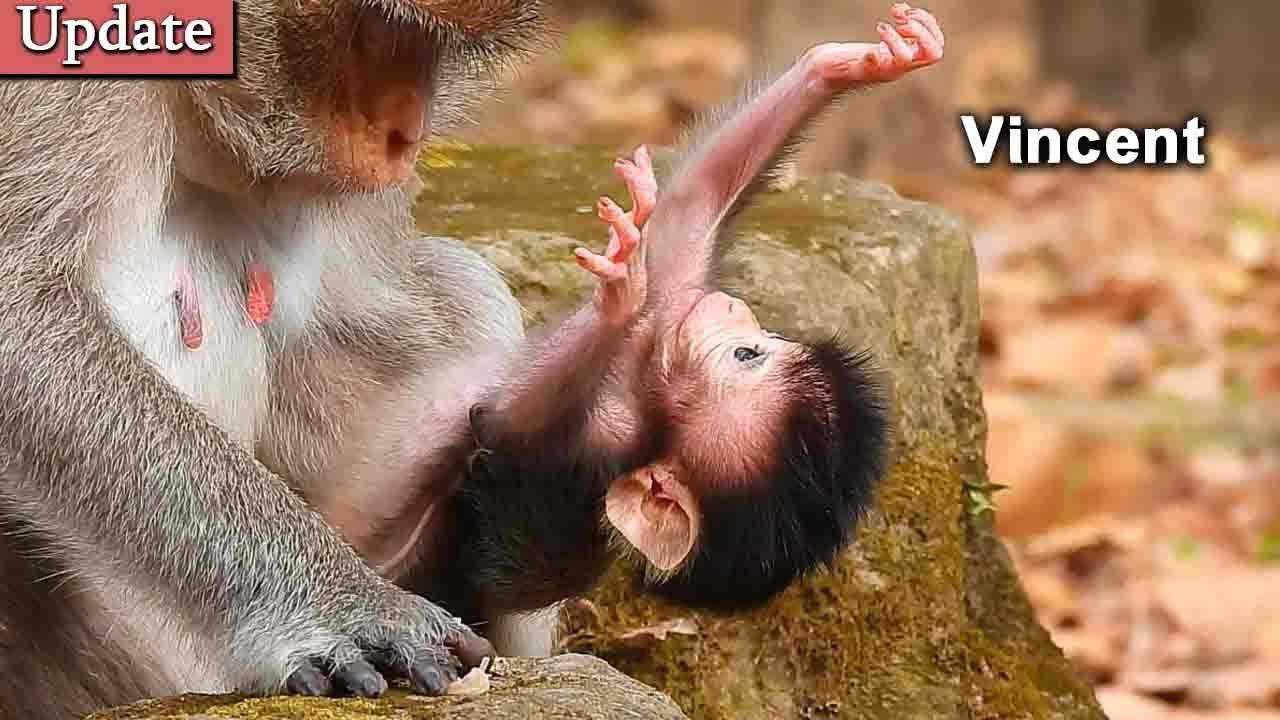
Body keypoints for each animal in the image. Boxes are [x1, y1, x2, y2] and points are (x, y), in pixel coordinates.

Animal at [0, 2, 547, 718]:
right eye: (375, 32)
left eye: (430, 50)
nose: (405, 135)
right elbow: (22, 315)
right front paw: (348, 606)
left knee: (464, 282)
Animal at [318, 2, 944, 635]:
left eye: (747, 354)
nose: (733, 308)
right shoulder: (666, 322)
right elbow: (689, 211)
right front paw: (856, 63)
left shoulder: (592, 441)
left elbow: (496, 422)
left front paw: (621, 290)